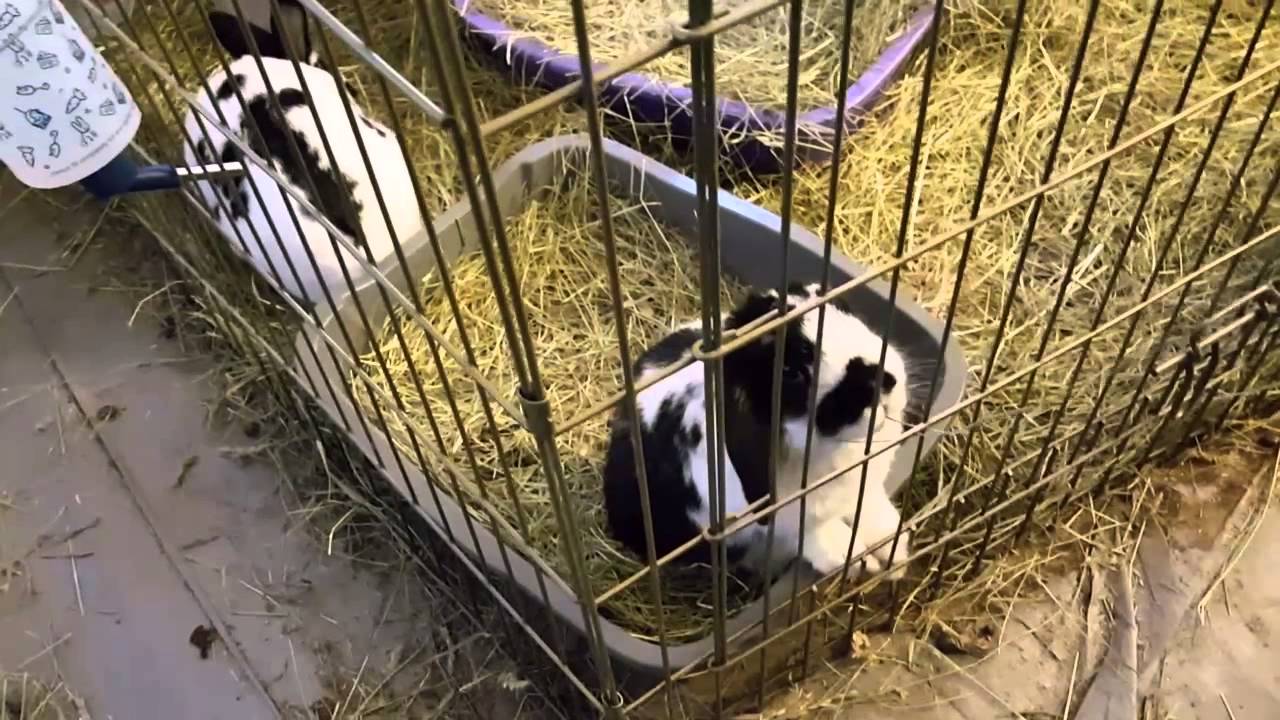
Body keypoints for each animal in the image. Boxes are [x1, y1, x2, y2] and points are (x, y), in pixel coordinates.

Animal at [603, 282, 913, 580]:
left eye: (838, 305)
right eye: (789, 371)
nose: (880, 378)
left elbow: (870, 507)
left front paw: (895, 550)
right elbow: (811, 532)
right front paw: (855, 558)